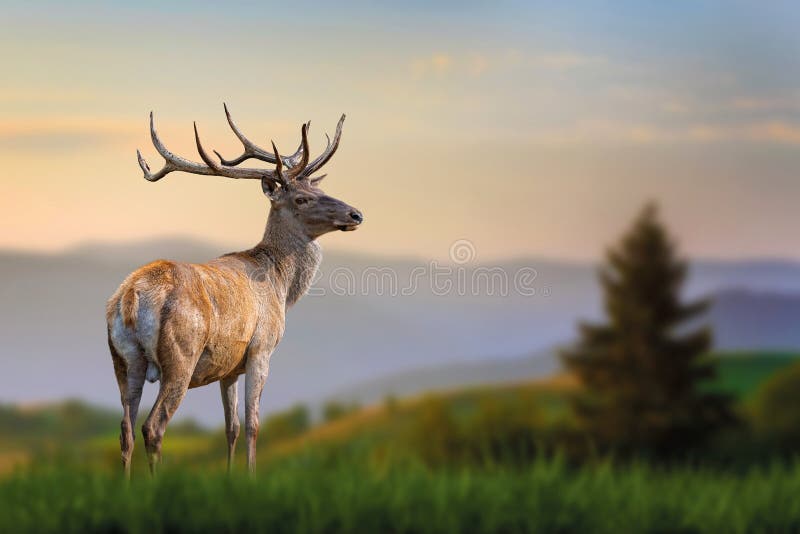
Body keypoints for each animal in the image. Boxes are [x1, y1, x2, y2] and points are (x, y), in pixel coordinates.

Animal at [106, 105, 362, 477]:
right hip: (181, 355)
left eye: (318, 188)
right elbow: (253, 424)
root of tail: (130, 297)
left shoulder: (228, 367)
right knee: (153, 426)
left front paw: (230, 478)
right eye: (302, 198)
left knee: (125, 430)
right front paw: (251, 478)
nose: (355, 214)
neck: (281, 286)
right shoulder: (261, 348)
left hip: (122, 360)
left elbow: (232, 427)